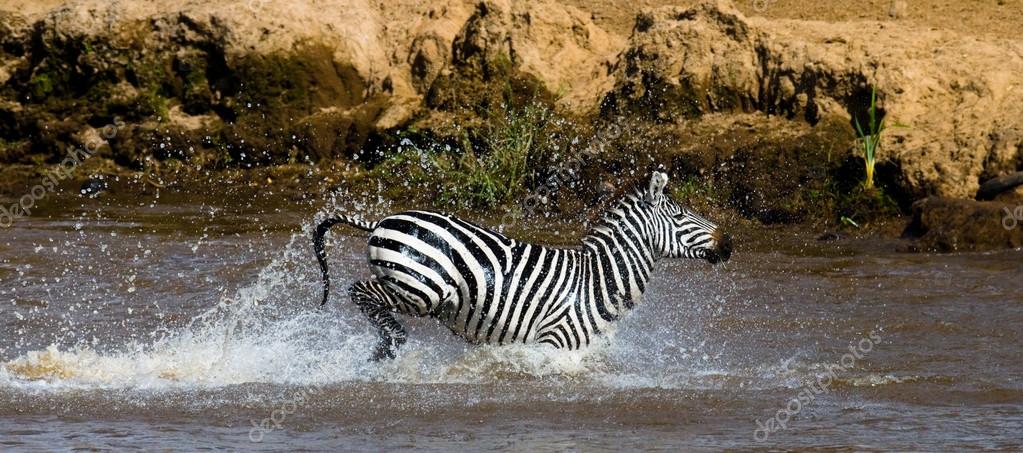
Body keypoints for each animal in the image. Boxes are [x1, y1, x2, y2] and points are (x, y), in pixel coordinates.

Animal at [313, 171, 732, 360]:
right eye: (681, 216)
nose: (728, 243)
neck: (598, 278)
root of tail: (383, 219)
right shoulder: (553, 343)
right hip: (419, 289)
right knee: (359, 290)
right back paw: (392, 341)